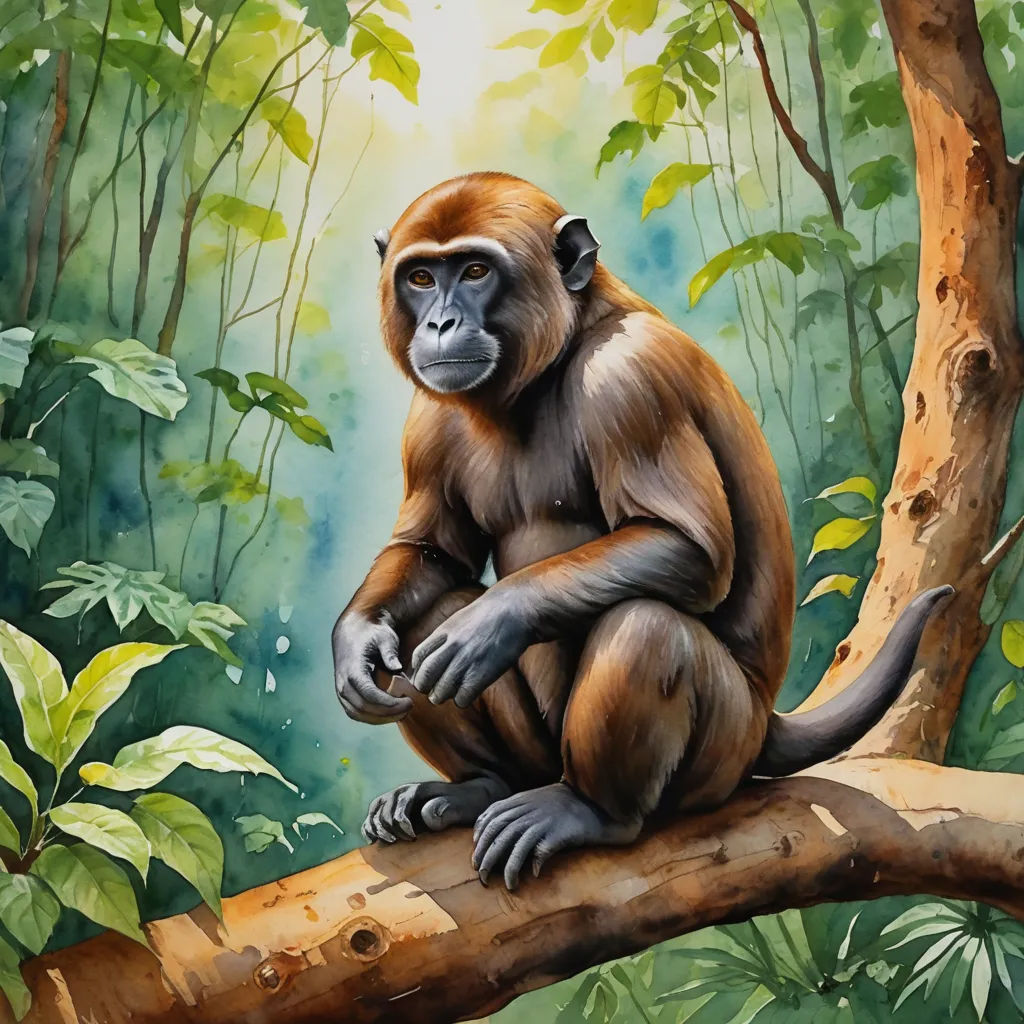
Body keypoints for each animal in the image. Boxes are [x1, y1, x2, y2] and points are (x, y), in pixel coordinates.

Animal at [332, 172, 952, 891]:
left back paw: (591, 810)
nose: (439, 321)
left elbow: (688, 547)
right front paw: (355, 640)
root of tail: (766, 726)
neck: (552, 359)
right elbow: (430, 554)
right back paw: (481, 785)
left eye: (477, 271)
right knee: (426, 619)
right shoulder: (429, 414)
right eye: (422, 277)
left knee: (647, 626)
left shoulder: (630, 378)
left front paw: (491, 621)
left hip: (722, 753)